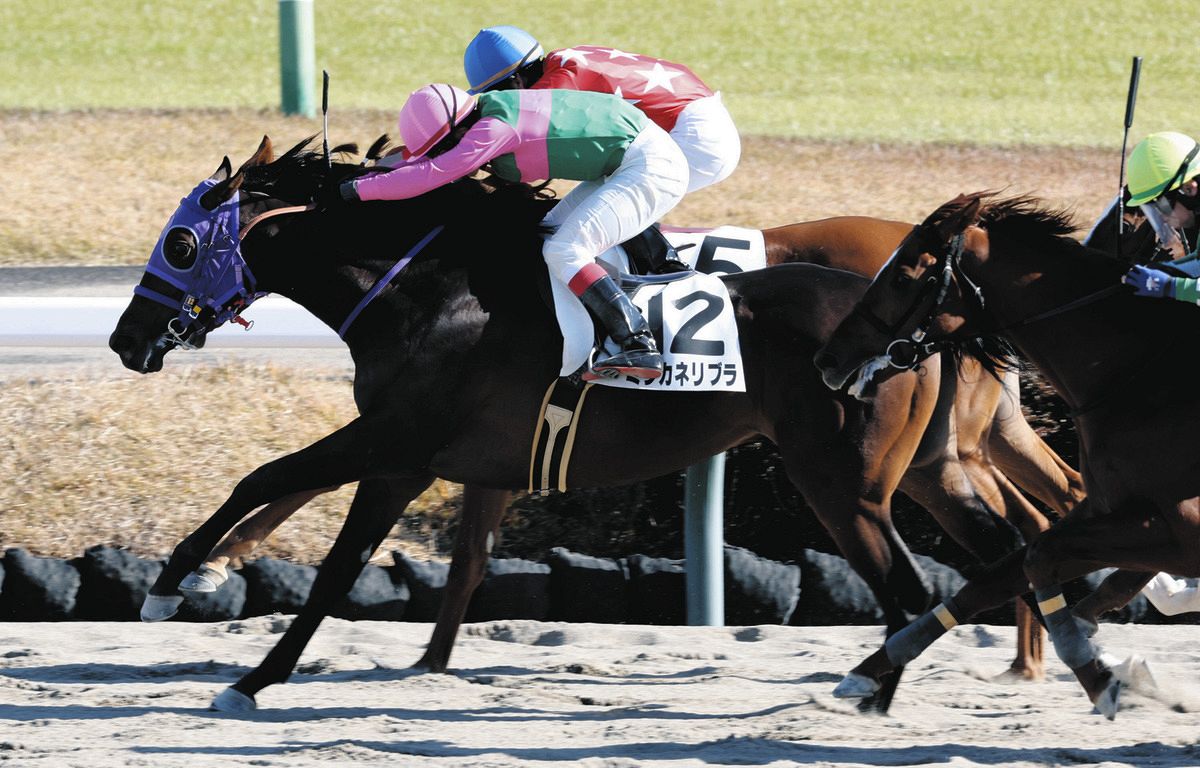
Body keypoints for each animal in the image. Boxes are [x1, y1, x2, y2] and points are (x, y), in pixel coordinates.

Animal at [111, 137, 1026, 713]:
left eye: (181, 244)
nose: (126, 338)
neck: (425, 294)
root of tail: (916, 324)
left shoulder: (396, 441)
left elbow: (275, 494)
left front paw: (185, 598)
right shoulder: (407, 460)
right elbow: (326, 546)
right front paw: (232, 641)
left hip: (843, 484)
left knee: (910, 588)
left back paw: (875, 689)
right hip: (928, 471)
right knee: (1007, 553)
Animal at [813, 191, 1200, 718]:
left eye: (903, 277)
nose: (828, 359)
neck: (1136, 371)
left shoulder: (1181, 528)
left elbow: (1038, 558)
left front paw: (1097, 670)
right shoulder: (1115, 511)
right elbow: (1006, 570)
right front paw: (870, 669)